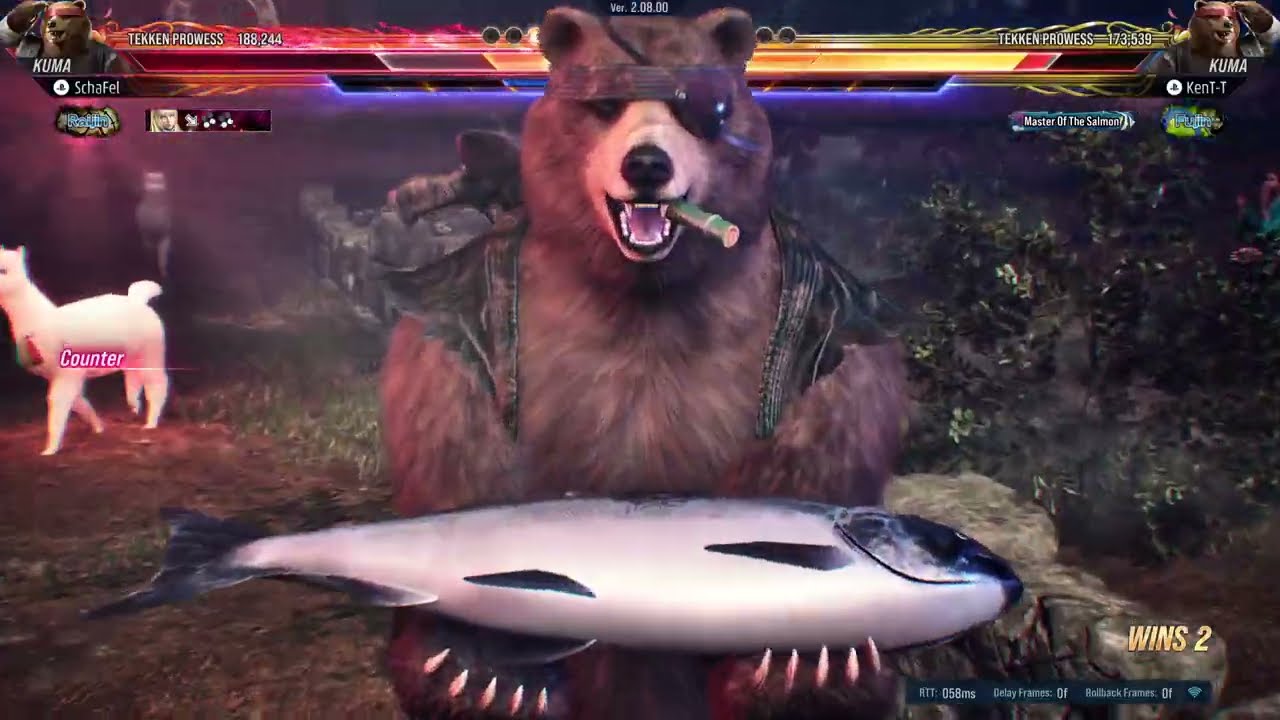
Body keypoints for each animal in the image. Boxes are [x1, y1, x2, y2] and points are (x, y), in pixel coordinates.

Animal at [0, 0, 129, 74]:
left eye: (64, 14)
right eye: (50, 15)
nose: (51, 23)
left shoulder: (103, 55)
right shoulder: (29, 44)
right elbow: (8, 38)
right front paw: (38, 4)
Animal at [378, 7, 908, 720]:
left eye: (704, 110)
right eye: (605, 103)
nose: (649, 164)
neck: (642, 289)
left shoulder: (815, 327)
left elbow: (827, 441)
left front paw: (809, 660)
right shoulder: (475, 326)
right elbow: (460, 450)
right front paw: (485, 669)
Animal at [1151, 0, 1279, 74]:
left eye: (1230, 17)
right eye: (1215, 15)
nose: (1228, 24)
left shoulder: (1249, 45)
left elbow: (1268, 38)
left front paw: (1243, 5)